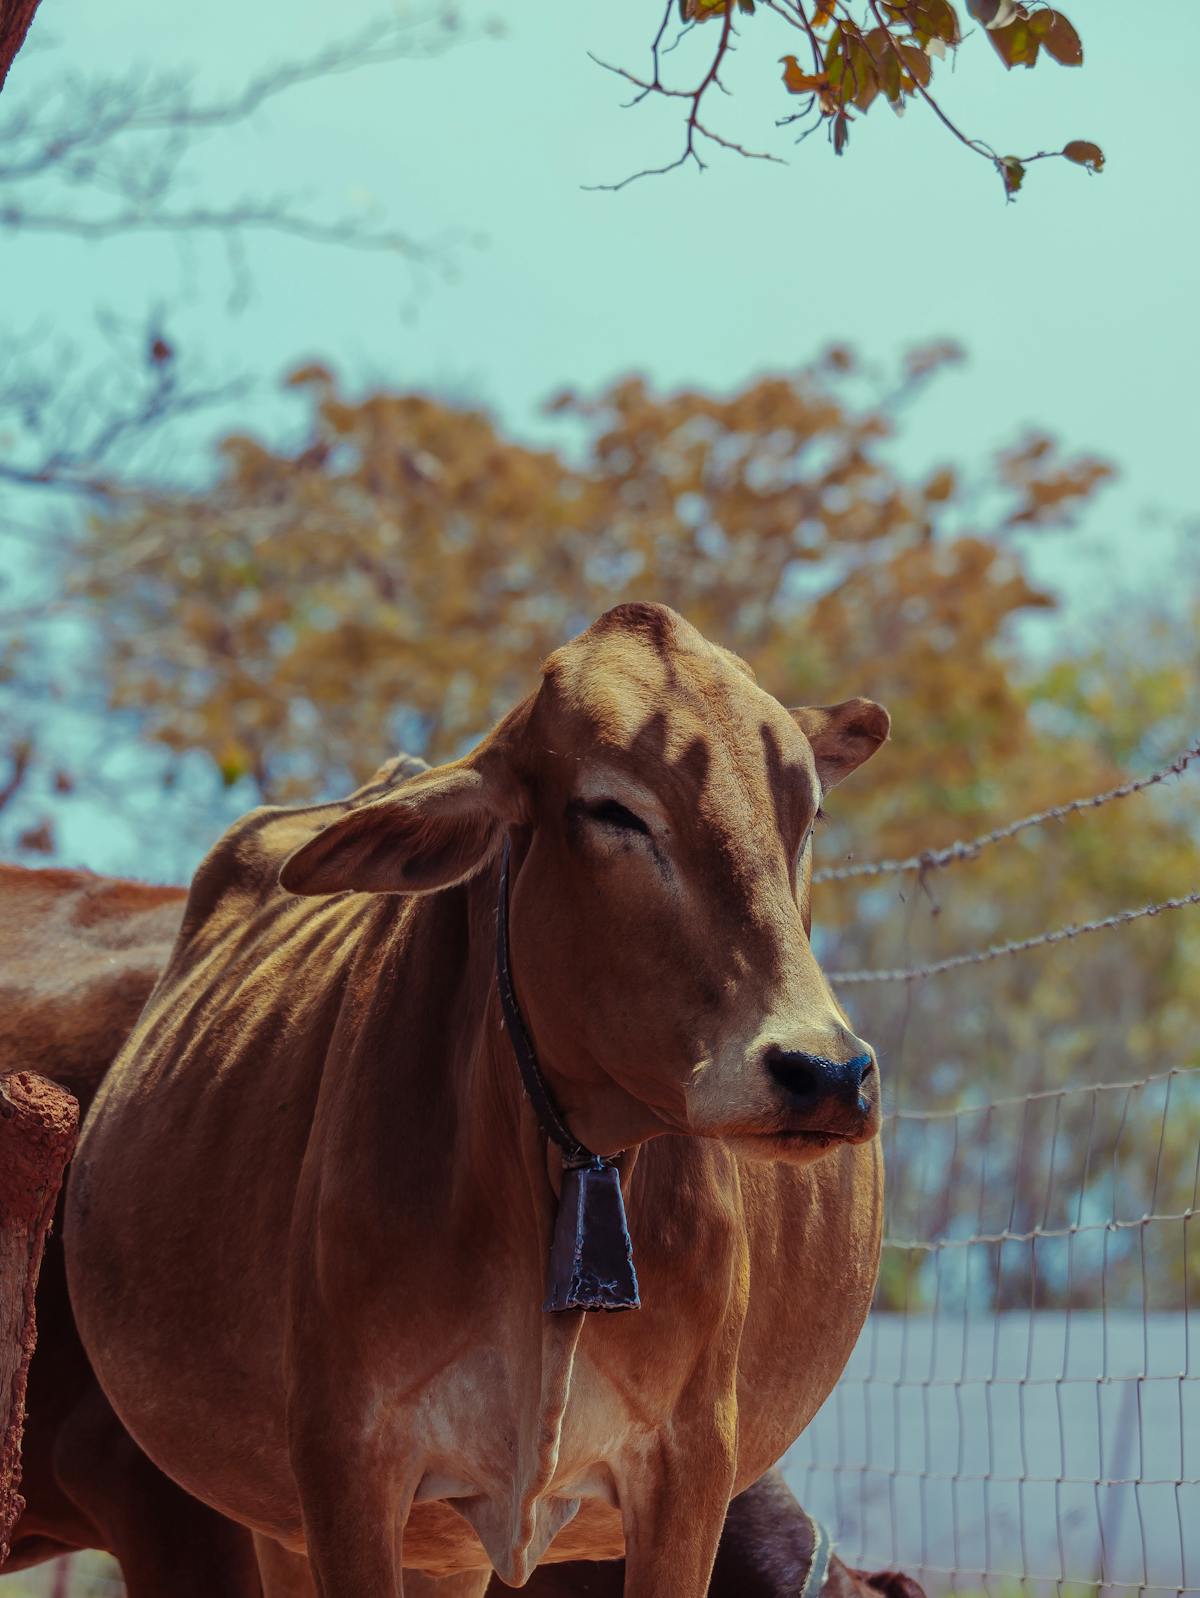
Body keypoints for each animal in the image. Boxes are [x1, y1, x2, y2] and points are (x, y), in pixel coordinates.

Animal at [64, 603, 892, 1596]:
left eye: (806, 813)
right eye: (612, 809)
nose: (825, 1074)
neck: (560, 1167)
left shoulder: (690, 1466)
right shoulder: (345, 1464)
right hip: (274, 1523)